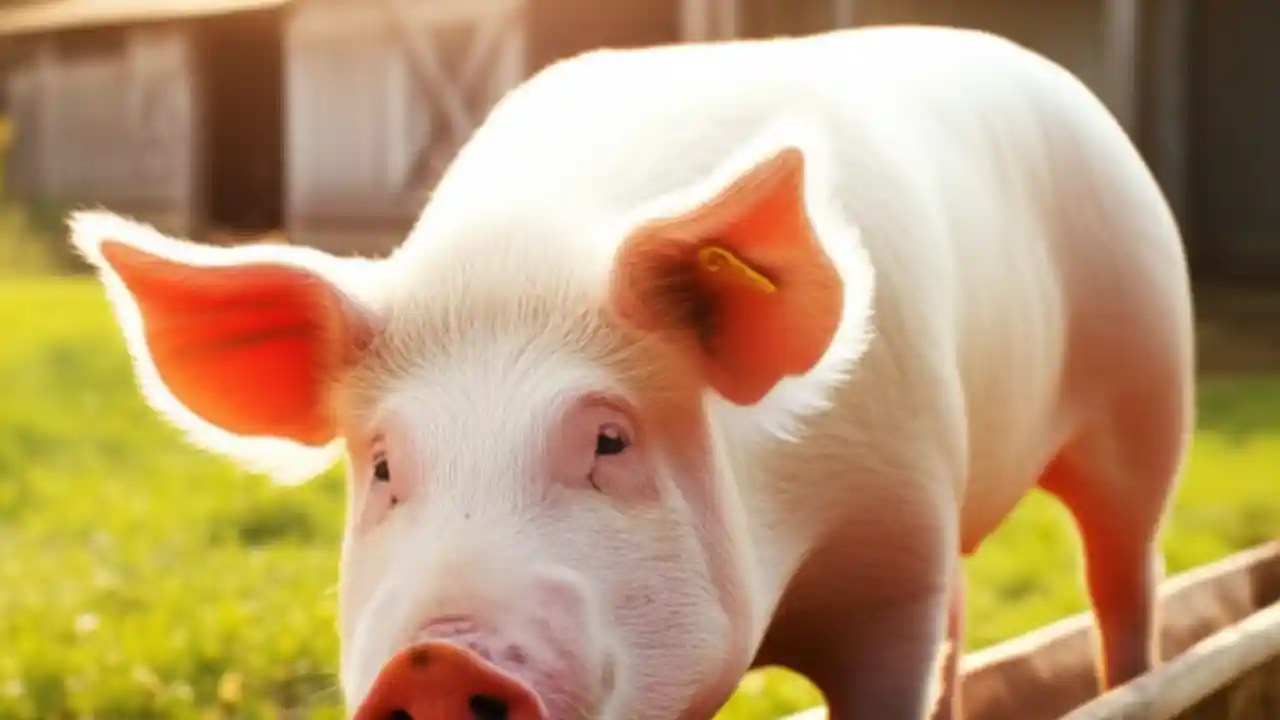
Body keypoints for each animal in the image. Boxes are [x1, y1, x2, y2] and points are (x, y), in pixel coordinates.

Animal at [71, 25, 1193, 720]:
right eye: (384, 466)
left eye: (609, 440)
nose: (434, 658)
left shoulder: (892, 555)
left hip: (1145, 385)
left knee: (1125, 573)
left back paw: (1137, 673)